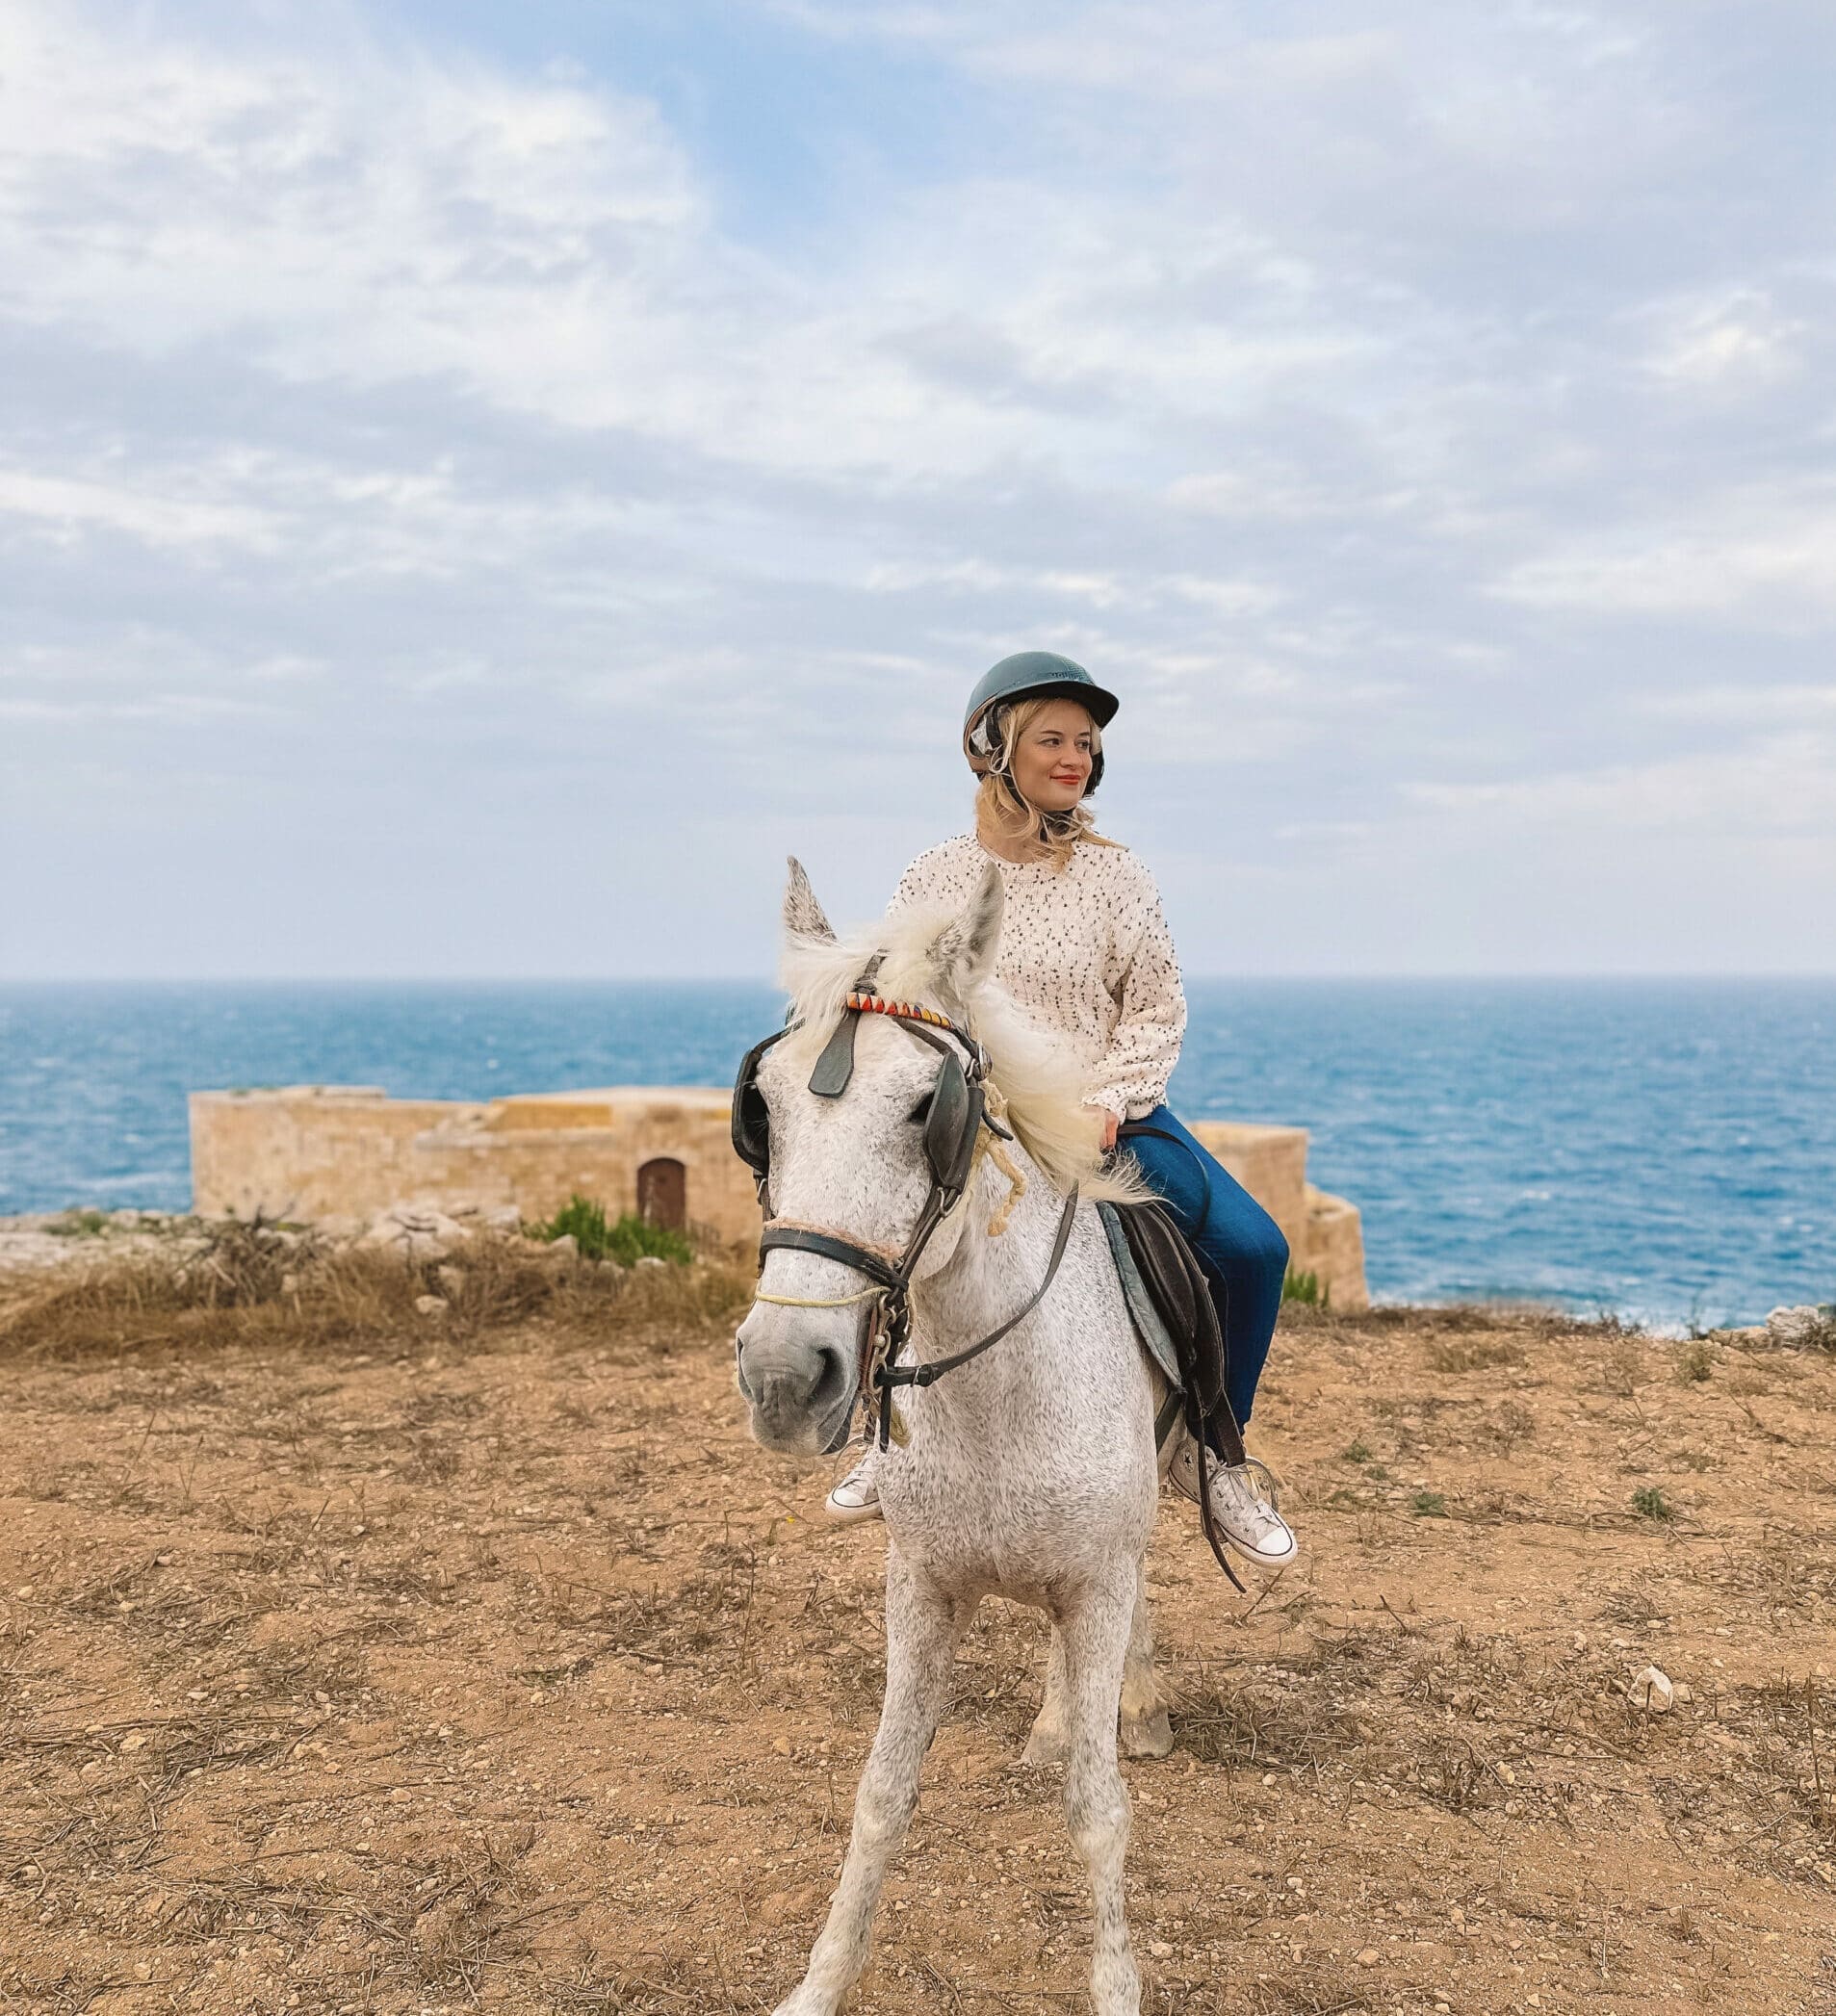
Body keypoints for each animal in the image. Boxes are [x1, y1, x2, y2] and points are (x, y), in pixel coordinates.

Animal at [733, 857, 1177, 2016]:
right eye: (763, 1109)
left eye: (925, 1109)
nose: (782, 1377)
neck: (997, 1393)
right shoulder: (922, 1585)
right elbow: (881, 1792)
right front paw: (820, 1983)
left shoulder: (1095, 1584)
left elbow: (1099, 1812)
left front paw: (1115, 1984)